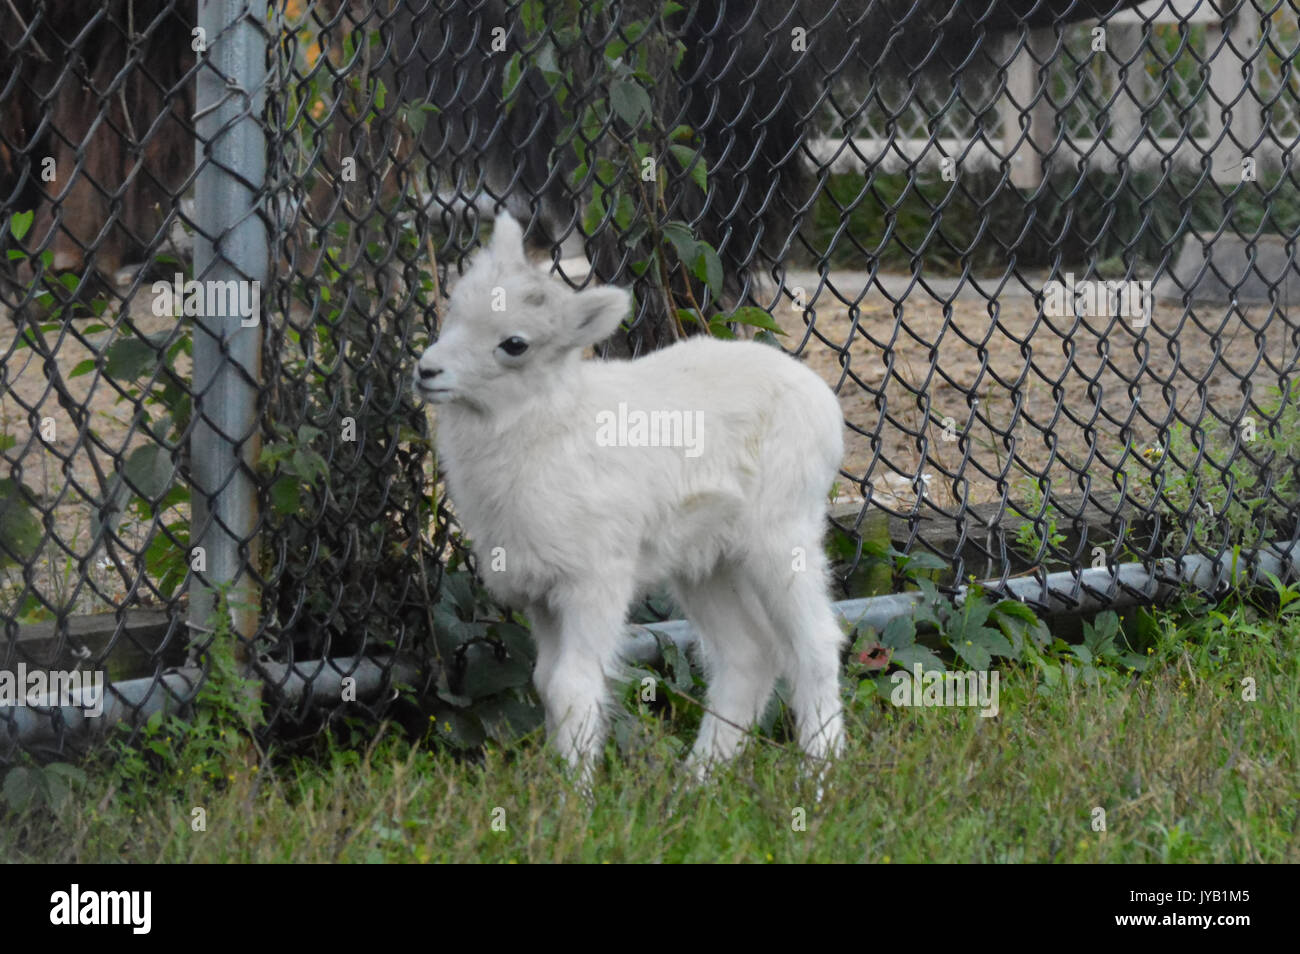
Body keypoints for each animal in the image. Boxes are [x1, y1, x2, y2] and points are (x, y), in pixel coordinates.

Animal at [413, 215, 847, 783]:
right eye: (455, 309)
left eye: (515, 344)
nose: (427, 372)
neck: (545, 426)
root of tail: (824, 400)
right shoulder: (542, 595)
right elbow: (545, 682)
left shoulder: (595, 581)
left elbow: (571, 686)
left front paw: (574, 794)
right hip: (707, 560)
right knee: (748, 655)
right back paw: (696, 780)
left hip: (783, 534)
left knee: (816, 644)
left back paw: (819, 778)